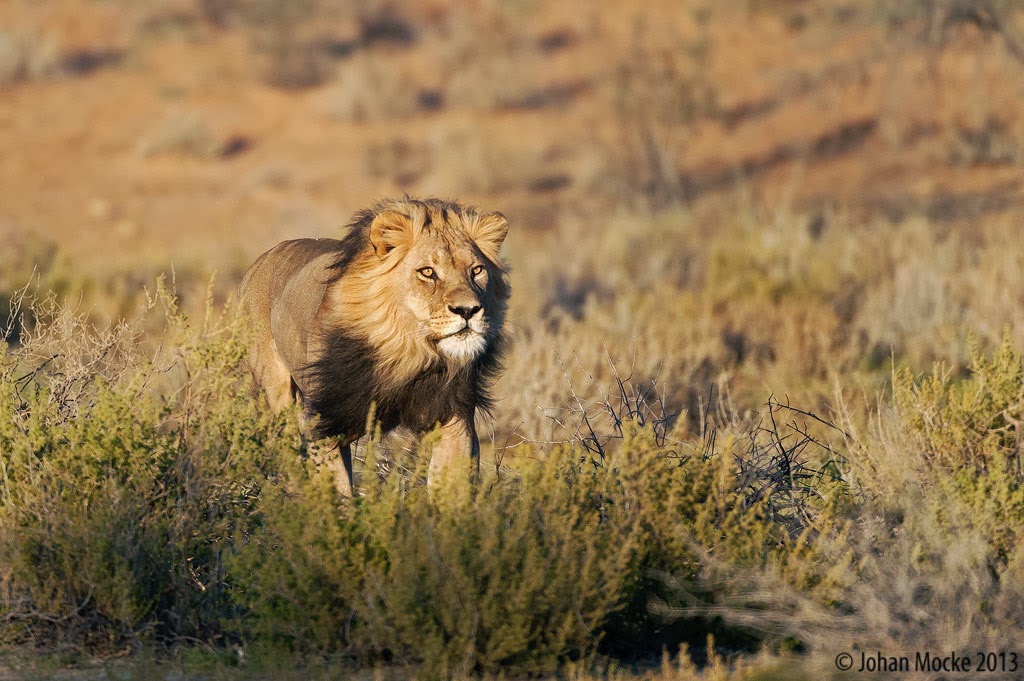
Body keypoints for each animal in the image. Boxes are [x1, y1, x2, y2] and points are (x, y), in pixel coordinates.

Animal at [238, 196, 510, 496]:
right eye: (428, 272)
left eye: (477, 270)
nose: (468, 310)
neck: (407, 351)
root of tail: (262, 259)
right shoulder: (326, 420)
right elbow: (337, 492)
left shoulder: (455, 416)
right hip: (276, 392)